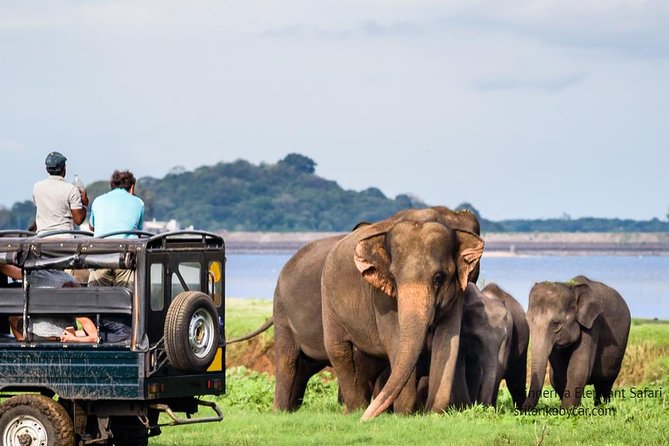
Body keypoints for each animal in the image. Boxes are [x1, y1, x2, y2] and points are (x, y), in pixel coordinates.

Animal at [321, 208, 484, 420]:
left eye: (438, 278)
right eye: (393, 277)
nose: (365, 420)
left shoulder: (457, 293)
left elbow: (448, 340)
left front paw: (433, 413)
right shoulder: (381, 297)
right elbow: (395, 340)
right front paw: (404, 414)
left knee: (366, 361)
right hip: (327, 299)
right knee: (338, 349)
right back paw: (355, 411)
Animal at [523, 275, 631, 409]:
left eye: (556, 324)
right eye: (527, 321)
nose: (521, 409)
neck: (570, 286)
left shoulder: (592, 325)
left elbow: (578, 369)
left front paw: (567, 411)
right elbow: (559, 375)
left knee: (605, 382)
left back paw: (602, 407)